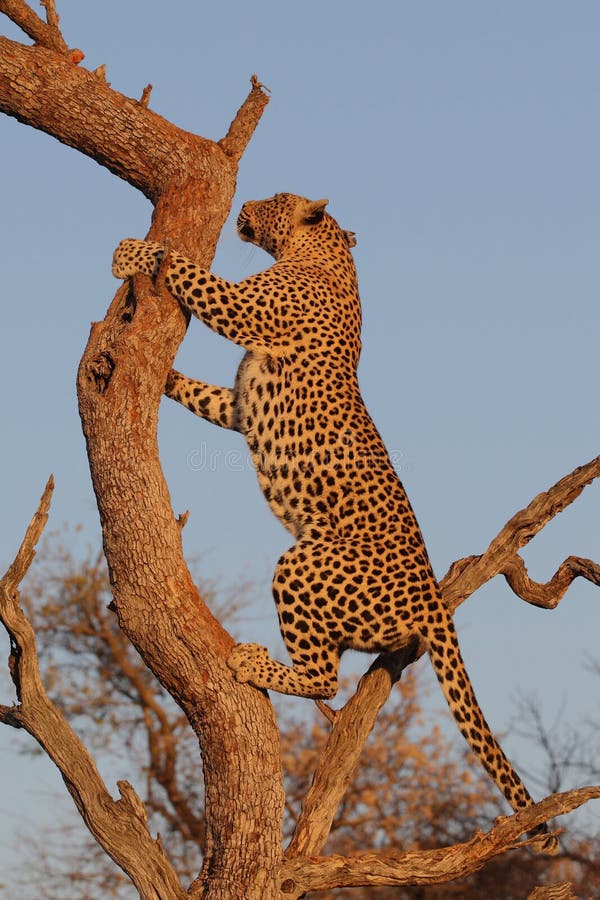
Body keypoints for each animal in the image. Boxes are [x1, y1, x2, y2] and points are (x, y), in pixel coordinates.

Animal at [112, 192, 556, 853]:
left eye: (273, 198)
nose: (245, 205)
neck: (322, 253)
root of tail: (432, 599)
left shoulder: (246, 307)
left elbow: (190, 272)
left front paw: (136, 253)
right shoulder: (239, 404)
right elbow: (207, 394)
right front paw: (161, 375)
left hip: (303, 564)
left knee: (325, 679)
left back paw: (255, 663)